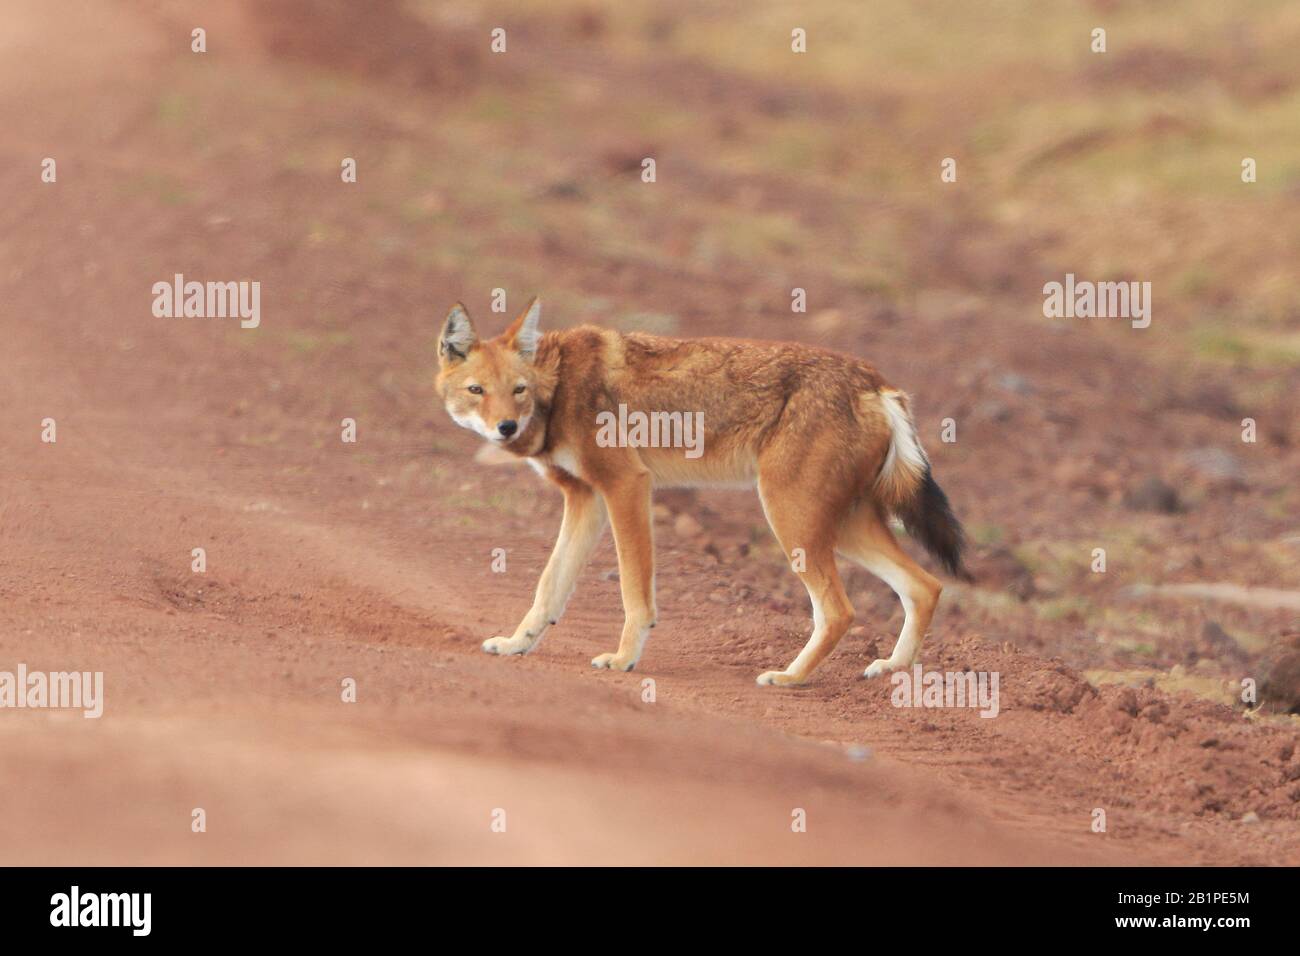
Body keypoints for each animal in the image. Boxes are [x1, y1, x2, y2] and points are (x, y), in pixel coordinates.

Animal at [436, 298, 969, 686]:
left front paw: (624, 659)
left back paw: (790, 678)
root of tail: (876, 383)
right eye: (477, 391)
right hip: (839, 526)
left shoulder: (627, 486)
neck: (560, 383)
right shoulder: (585, 498)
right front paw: (516, 645)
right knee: (925, 586)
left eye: (518, 389)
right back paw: (891, 670)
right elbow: (549, 586)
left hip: (791, 519)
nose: (505, 428)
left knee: (840, 610)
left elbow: (634, 590)